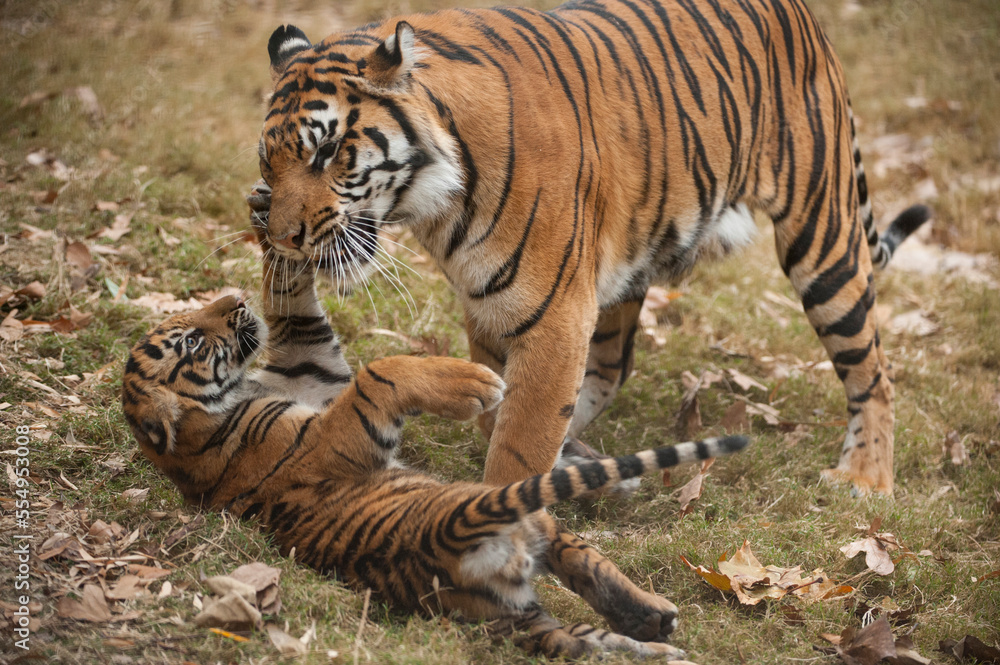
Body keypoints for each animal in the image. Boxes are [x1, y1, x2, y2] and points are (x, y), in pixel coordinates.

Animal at [121, 222, 750, 659]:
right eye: (191, 342)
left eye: (195, 318)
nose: (233, 302)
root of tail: (445, 538)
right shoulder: (330, 439)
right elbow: (379, 372)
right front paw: (474, 384)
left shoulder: (310, 362)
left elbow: (295, 308)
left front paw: (274, 223)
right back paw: (659, 632)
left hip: (527, 598)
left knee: (582, 620)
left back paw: (653, 626)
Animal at [252, 0, 931, 495]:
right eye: (269, 160)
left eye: (325, 151)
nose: (281, 236)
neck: (436, 205)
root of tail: (804, 16)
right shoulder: (494, 304)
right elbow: (502, 409)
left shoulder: (551, 312)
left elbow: (517, 443)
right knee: (610, 365)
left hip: (823, 236)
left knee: (874, 371)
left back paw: (865, 479)